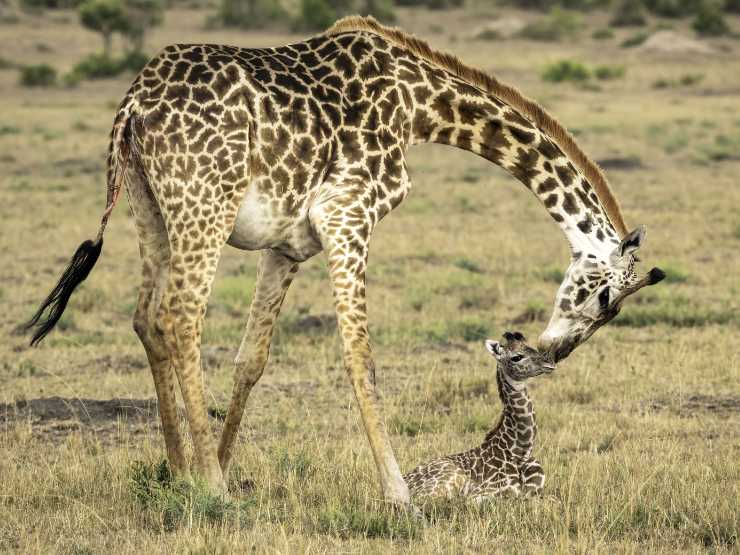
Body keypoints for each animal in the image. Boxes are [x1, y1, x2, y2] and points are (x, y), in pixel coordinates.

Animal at [404, 332, 553, 502]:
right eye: (517, 357)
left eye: (531, 348)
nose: (549, 363)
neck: (517, 453)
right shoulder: (482, 493)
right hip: (448, 481)